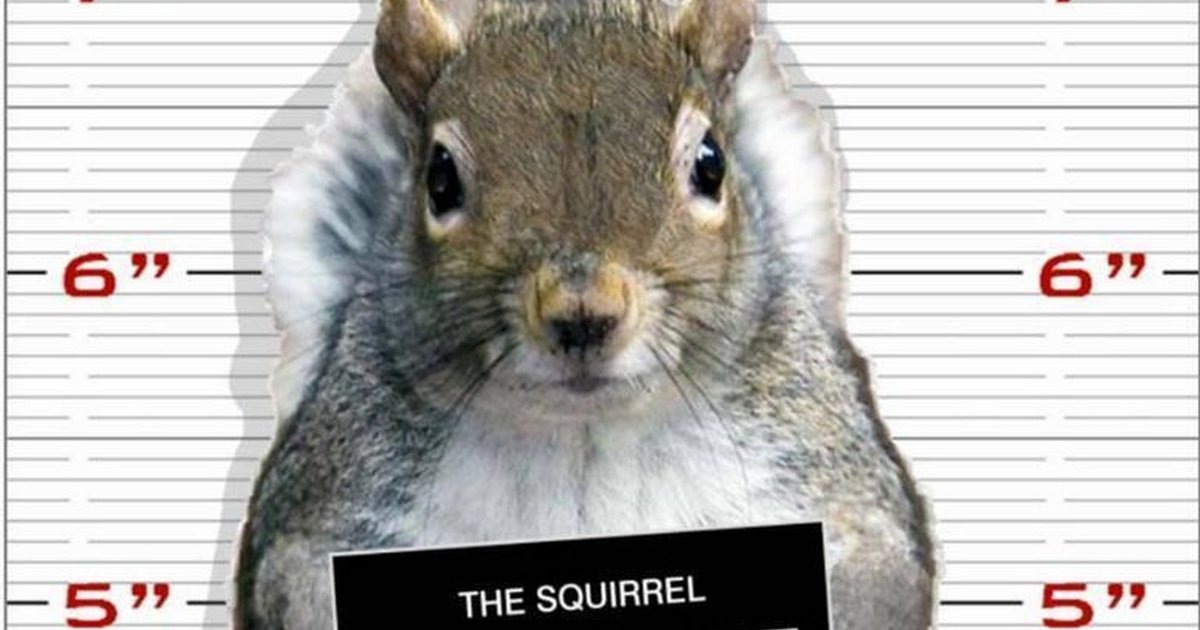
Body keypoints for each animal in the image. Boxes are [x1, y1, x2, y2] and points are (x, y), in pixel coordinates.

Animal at [234, 1, 938, 628]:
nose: (582, 314)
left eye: (711, 163)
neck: (587, 438)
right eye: (439, 179)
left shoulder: (831, 482)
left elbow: (878, 577)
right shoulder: (322, 524)